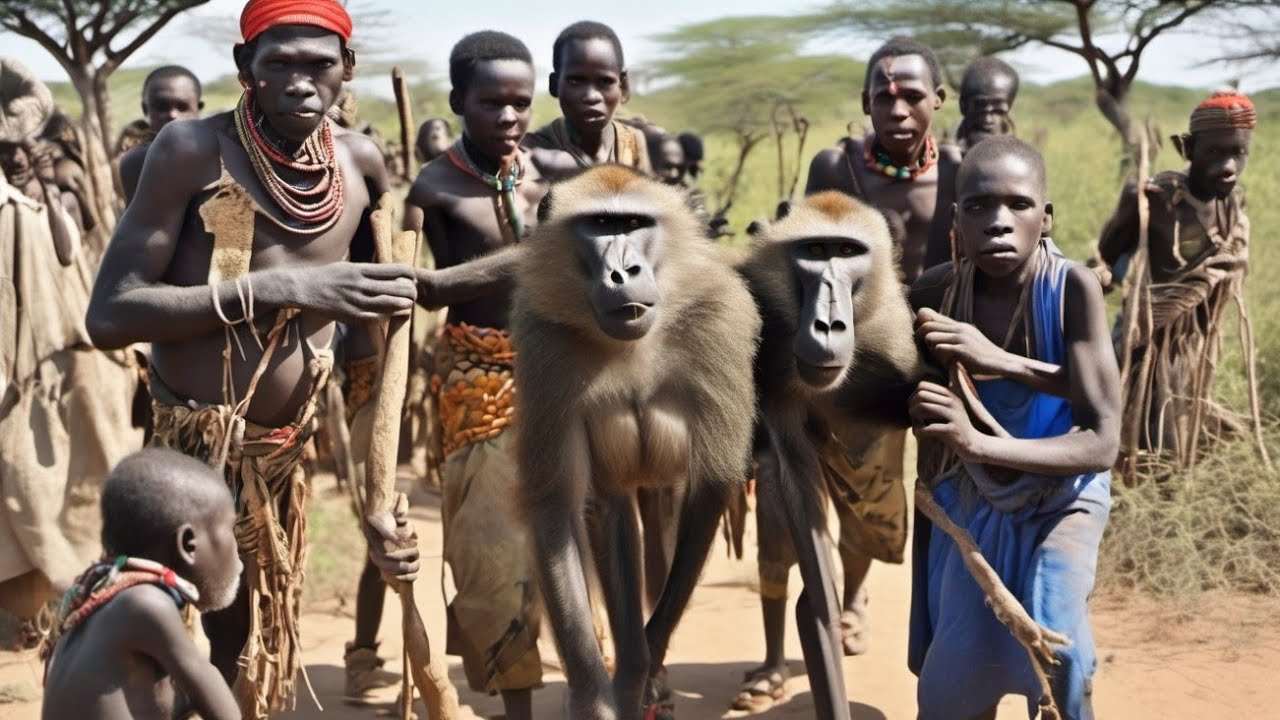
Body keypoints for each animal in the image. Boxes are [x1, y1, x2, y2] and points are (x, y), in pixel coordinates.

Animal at [507, 164, 760, 720]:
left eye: (634, 223)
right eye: (600, 224)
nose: (623, 272)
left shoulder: (720, 320)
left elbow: (710, 488)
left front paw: (652, 658)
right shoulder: (544, 344)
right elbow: (556, 507)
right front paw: (594, 694)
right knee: (610, 508)